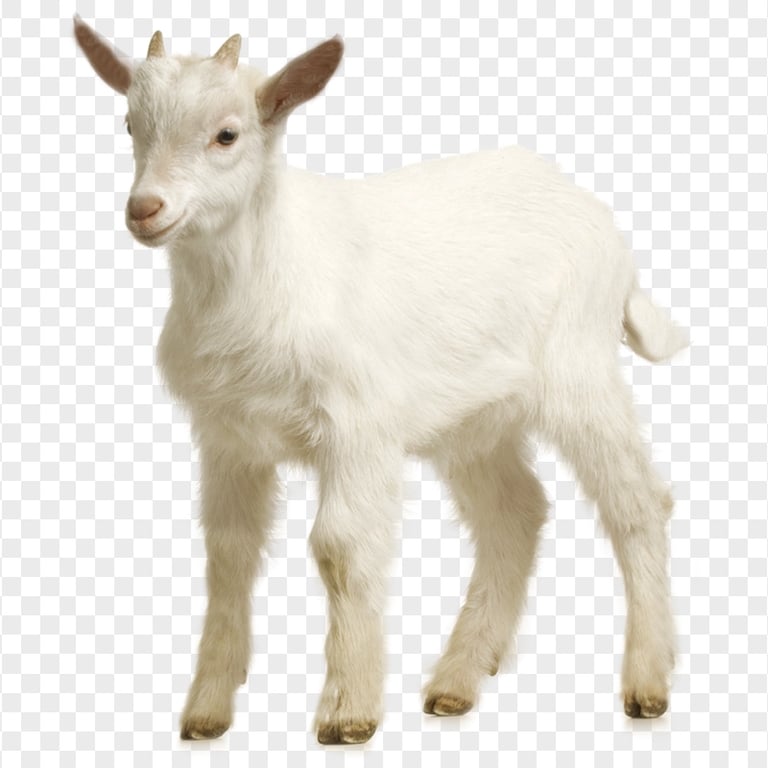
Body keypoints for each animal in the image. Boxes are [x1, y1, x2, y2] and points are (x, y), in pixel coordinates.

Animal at [74, 17, 687, 744]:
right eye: (129, 124)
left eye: (227, 134)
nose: (145, 208)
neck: (268, 272)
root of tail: (603, 228)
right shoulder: (228, 436)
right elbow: (228, 554)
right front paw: (207, 709)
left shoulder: (356, 426)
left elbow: (339, 547)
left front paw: (349, 712)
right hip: (473, 418)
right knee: (515, 511)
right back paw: (457, 682)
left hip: (580, 369)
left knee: (638, 503)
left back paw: (647, 681)